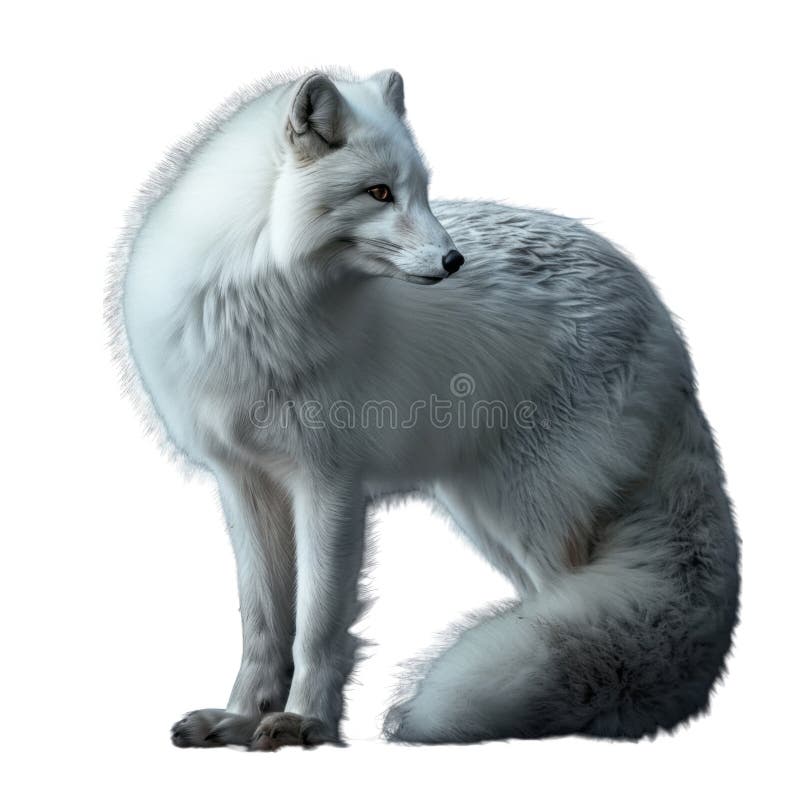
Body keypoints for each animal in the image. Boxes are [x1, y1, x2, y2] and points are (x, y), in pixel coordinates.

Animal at [108, 67, 740, 749]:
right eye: (379, 192)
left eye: (422, 193)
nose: (454, 260)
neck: (259, 301)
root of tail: (660, 313)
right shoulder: (243, 482)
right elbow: (263, 624)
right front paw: (240, 717)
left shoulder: (330, 483)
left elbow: (318, 624)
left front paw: (306, 721)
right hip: (485, 511)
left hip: (527, 511)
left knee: (568, 608)